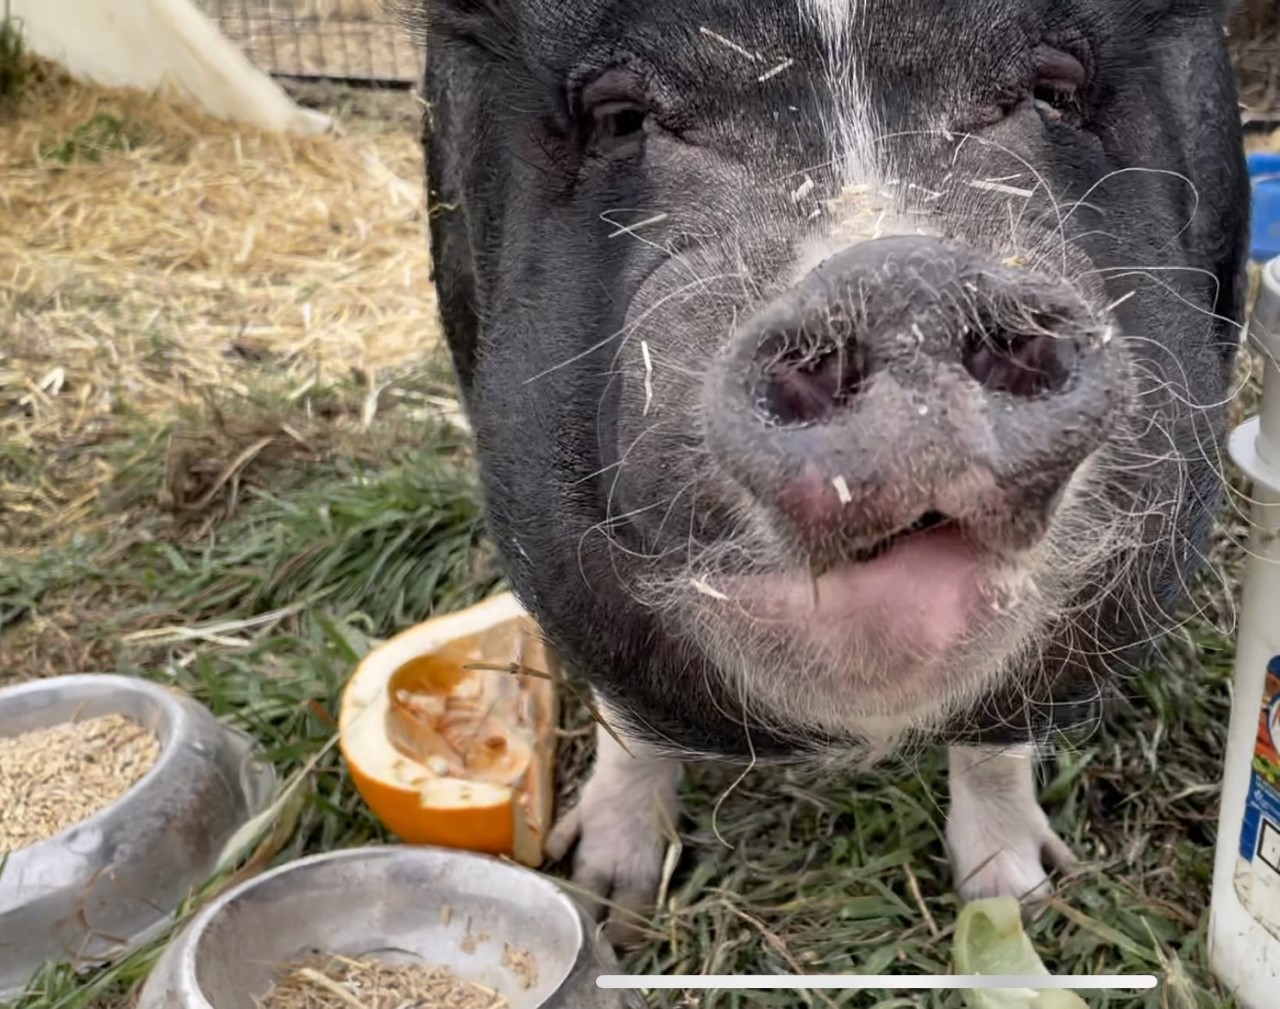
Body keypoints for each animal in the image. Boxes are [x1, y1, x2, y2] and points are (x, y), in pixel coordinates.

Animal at [414, 0, 1250, 942]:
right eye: (621, 116)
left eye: (1052, 89)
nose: (898, 279)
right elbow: (630, 716)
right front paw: (609, 906)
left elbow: (997, 736)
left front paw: (1020, 905)